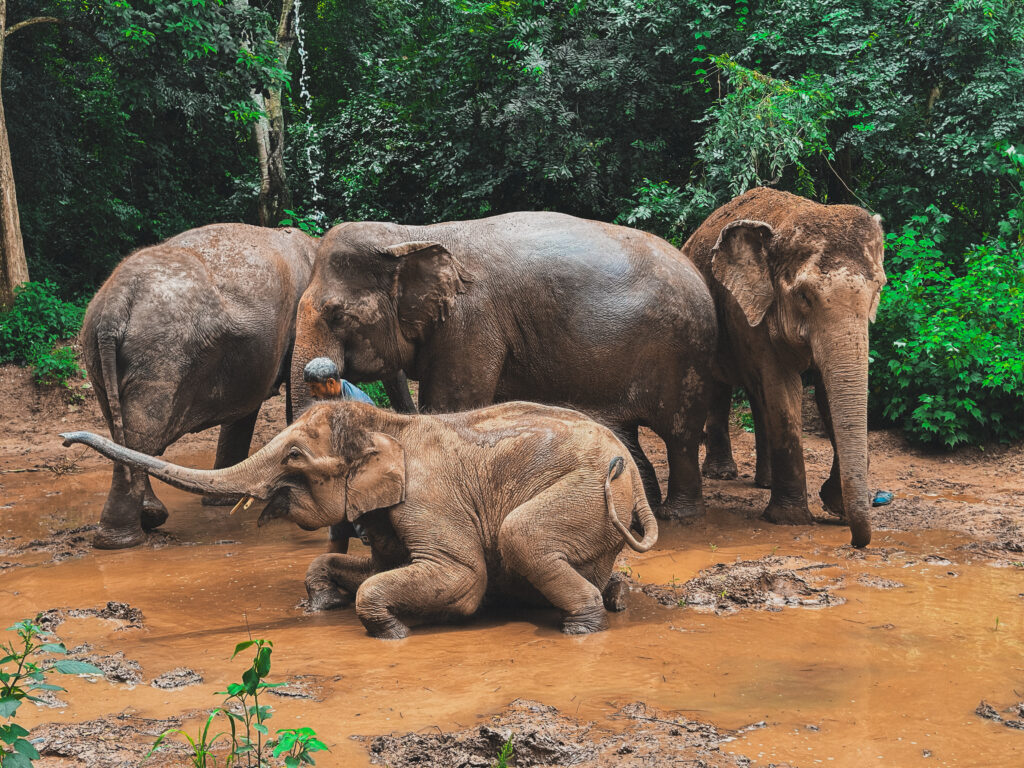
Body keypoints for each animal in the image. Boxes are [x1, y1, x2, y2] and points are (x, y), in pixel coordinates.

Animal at [62, 399, 659, 638]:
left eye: (294, 457)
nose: (66, 437)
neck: (388, 423)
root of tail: (628, 467)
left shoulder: (429, 498)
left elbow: (462, 577)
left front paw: (391, 629)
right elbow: (366, 567)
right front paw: (316, 605)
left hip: (589, 492)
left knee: (521, 536)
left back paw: (580, 626)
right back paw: (613, 596)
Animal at [289, 212, 717, 521]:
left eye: (336, 314)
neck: (410, 234)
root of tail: (693, 265)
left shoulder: (471, 325)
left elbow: (451, 405)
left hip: (685, 355)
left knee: (680, 434)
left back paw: (678, 515)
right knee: (626, 432)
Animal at [680, 187, 886, 547]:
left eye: (878, 290)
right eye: (804, 296)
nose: (856, 541)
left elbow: (825, 394)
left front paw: (836, 507)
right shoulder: (753, 313)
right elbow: (782, 389)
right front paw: (790, 519)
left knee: (756, 397)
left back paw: (764, 482)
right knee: (722, 387)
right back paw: (722, 474)